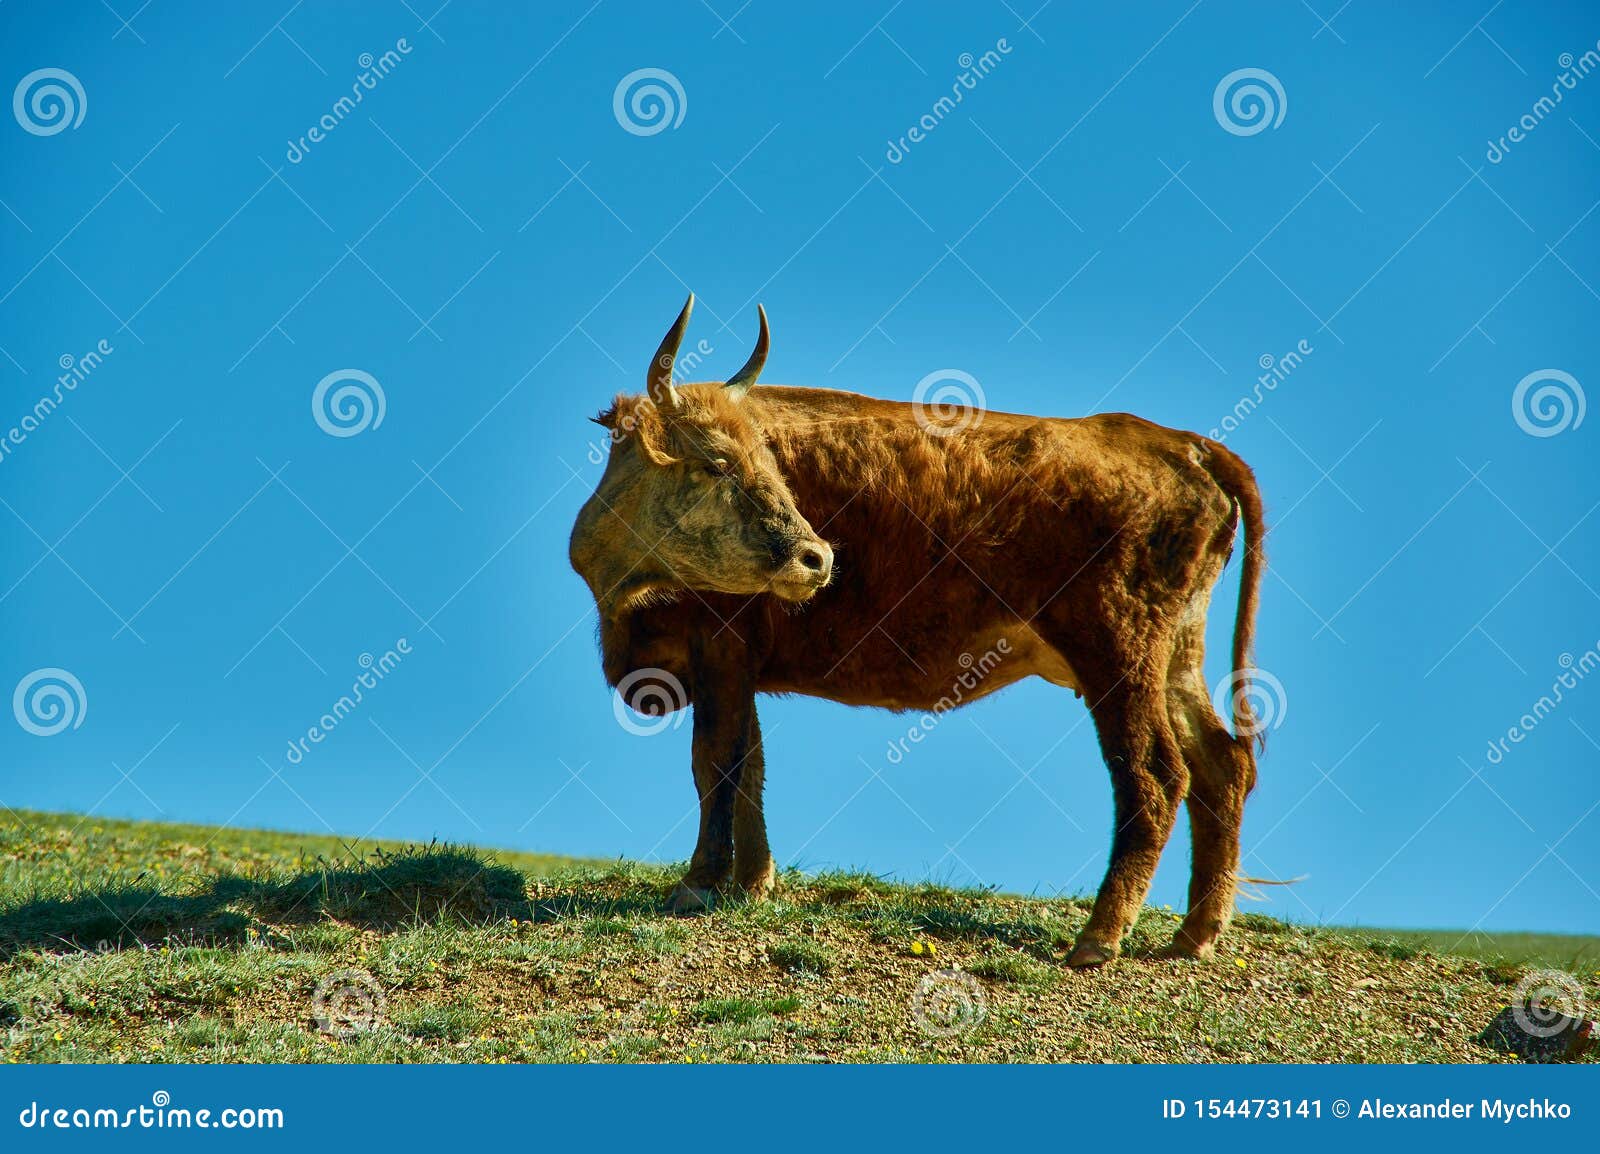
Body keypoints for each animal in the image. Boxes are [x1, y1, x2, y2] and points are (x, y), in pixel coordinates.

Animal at [569, 295, 1267, 966]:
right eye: (716, 464)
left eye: (767, 459)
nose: (816, 558)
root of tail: (1182, 444)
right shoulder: (738, 671)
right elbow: (751, 766)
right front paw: (752, 882)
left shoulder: (721, 652)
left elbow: (716, 762)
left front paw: (698, 884)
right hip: (1175, 658)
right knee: (1223, 764)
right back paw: (1194, 935)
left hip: (1117, 654)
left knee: (1153, 777)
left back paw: (1099, 937)